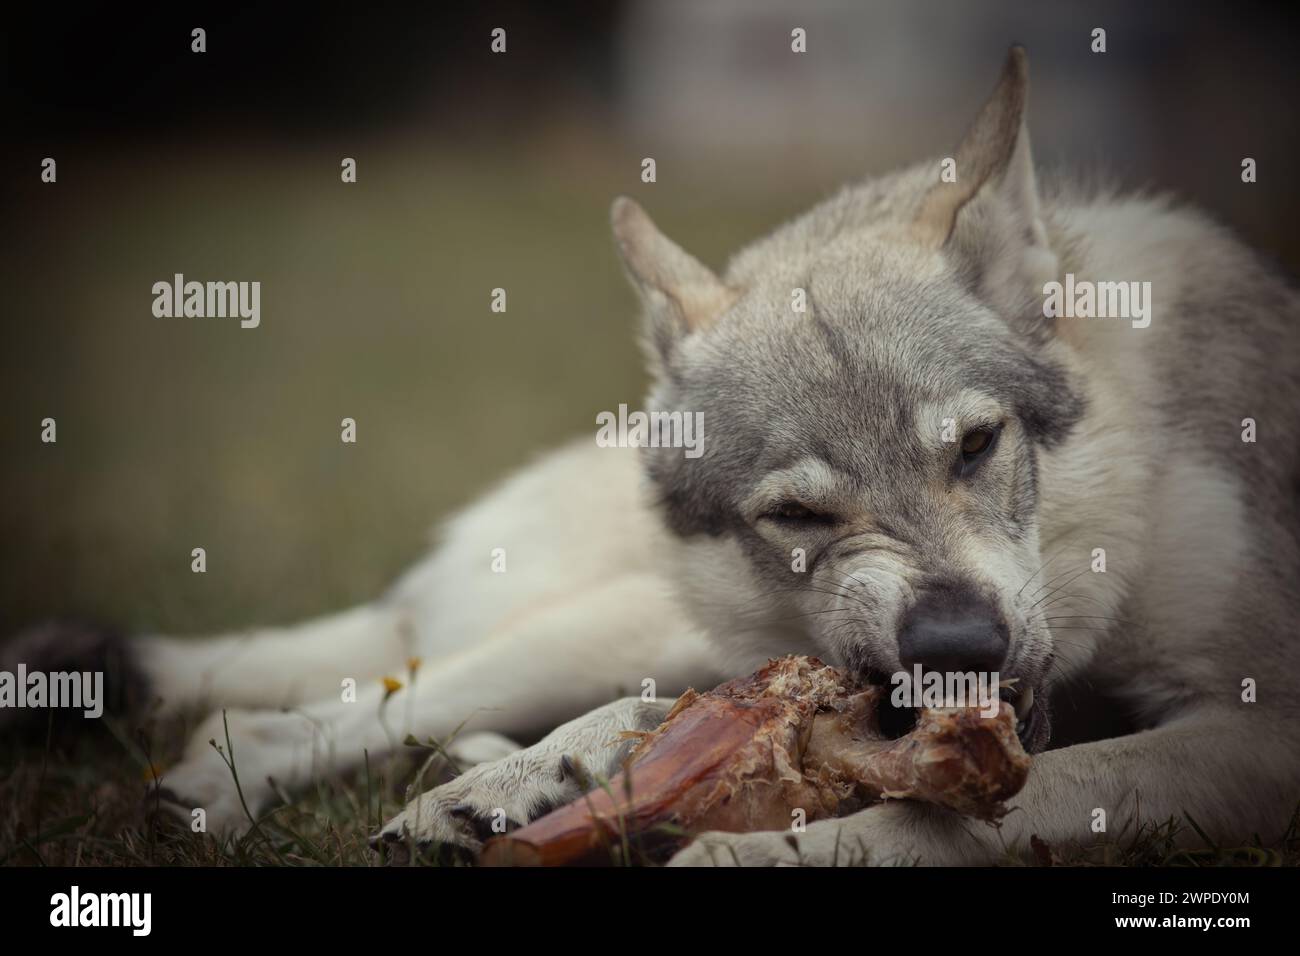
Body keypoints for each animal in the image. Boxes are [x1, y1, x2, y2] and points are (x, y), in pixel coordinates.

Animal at [11, 47, 1299, 865]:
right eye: (796, 517)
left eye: (977, 446)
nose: (954, 645)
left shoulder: (1256, 730)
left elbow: (1002, 795)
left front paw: (750, 846)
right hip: (618, 621)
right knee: (335, 710)